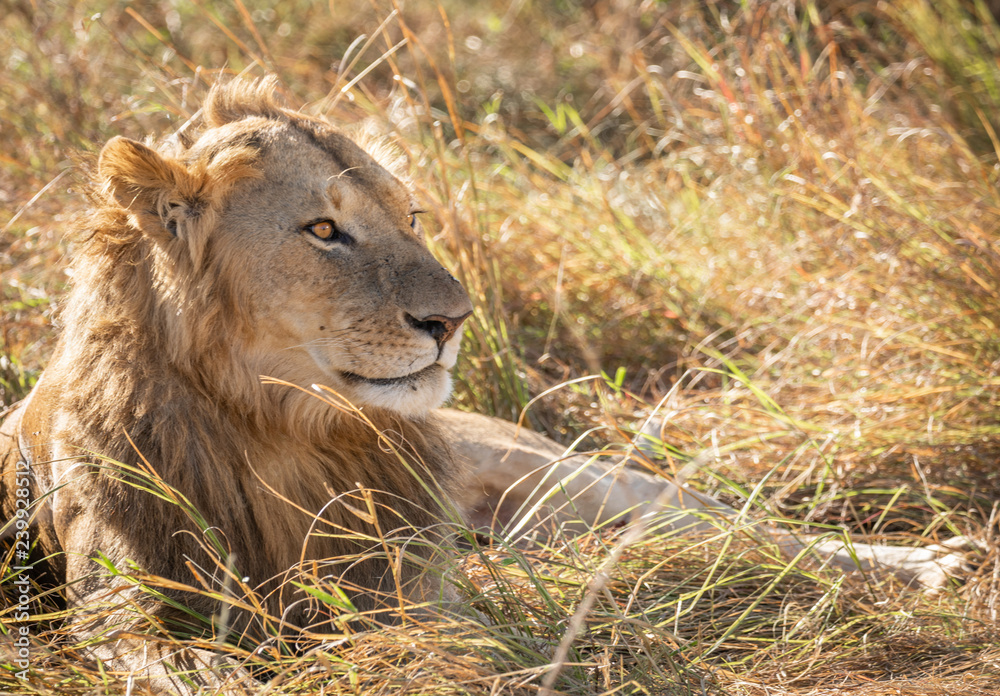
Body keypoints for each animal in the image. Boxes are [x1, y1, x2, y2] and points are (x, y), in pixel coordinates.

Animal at [0, 77, 970, 694]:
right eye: (323, 230)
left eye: (411, 216)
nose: (454, 320)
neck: (276, 431)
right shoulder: (125, 601)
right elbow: (177, 668)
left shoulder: (409, 585)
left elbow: (434, 634)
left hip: (575, 480)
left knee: (750, 532)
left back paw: (925, 565)